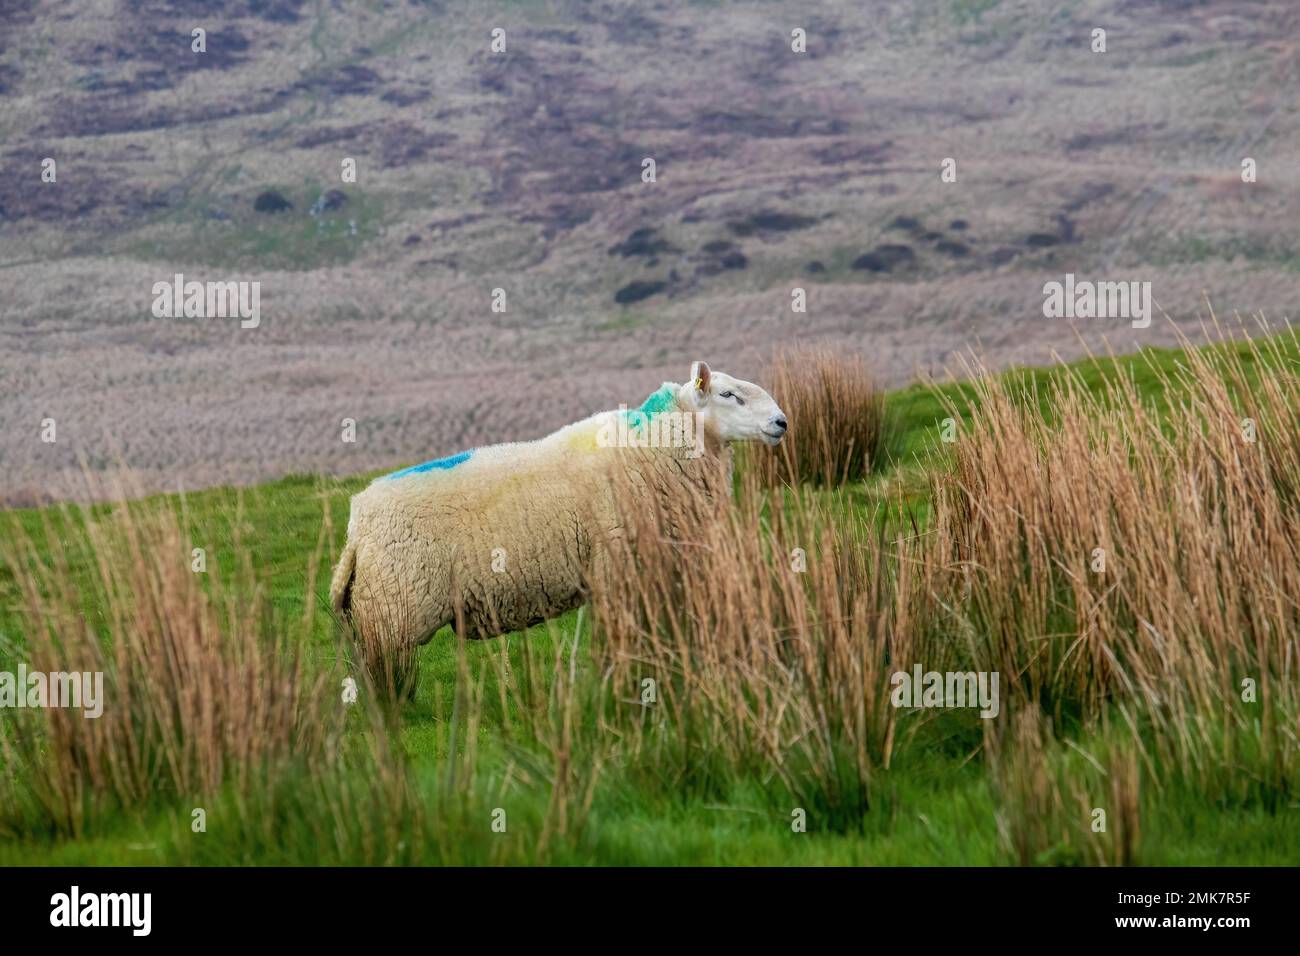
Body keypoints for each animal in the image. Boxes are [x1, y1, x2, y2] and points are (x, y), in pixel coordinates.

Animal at [329, 361, 787, 649]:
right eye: (728, 394)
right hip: (394, 609)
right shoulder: (617, 563)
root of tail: (357, 523)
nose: (781, 422)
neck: (652, 446)